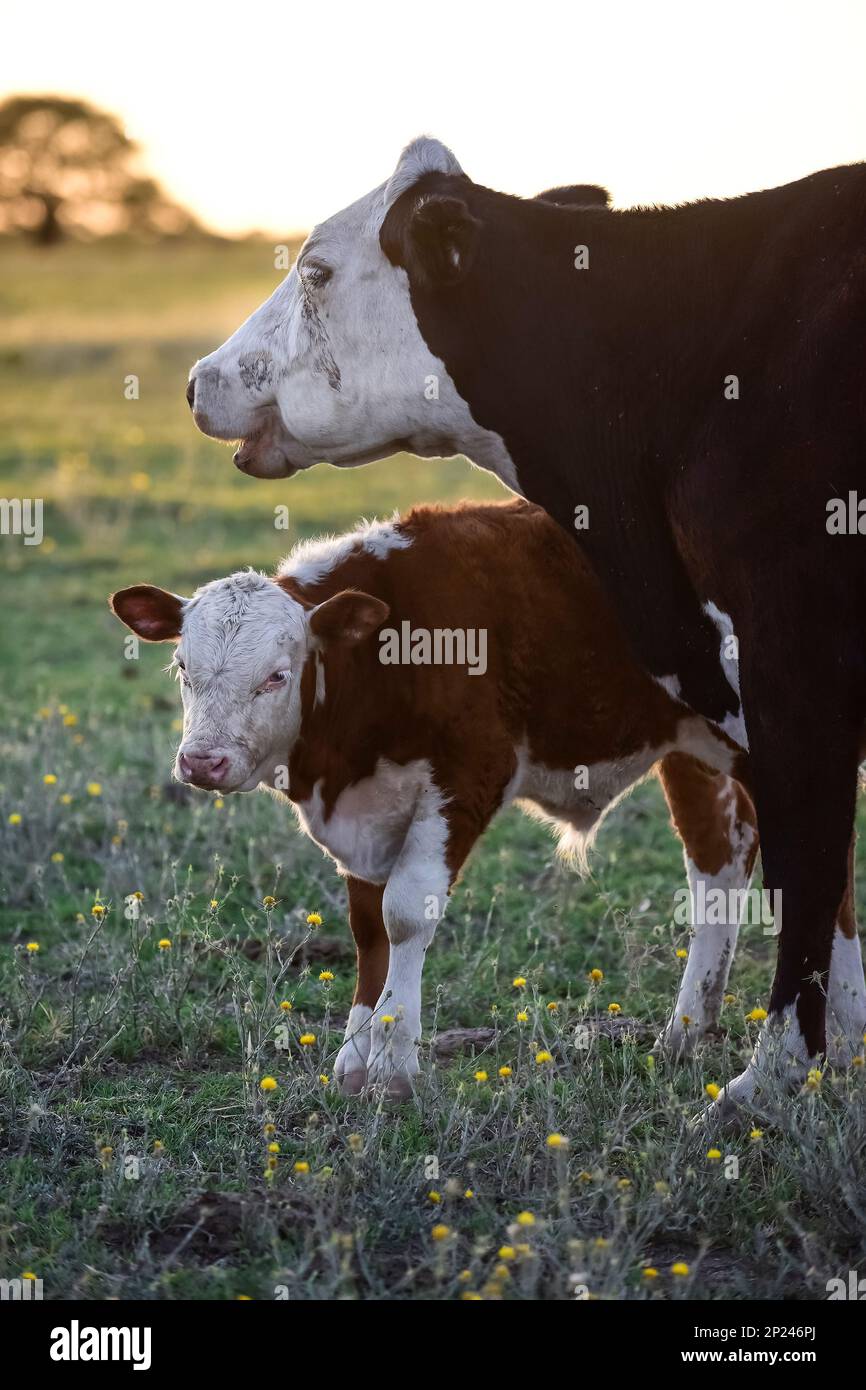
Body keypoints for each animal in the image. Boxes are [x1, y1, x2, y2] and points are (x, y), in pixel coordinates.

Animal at [110, 500, 865, 1100]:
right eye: (183, 667)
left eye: (276, 675)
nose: (202, 762)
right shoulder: (362, 815)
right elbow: (367, 928)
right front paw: (353, 1056)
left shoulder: (468, 776)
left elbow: (405, 915)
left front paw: (392, 1064)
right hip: (698, 750)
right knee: (721, 859)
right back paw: (694, 1032)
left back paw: (843, 1029)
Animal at [186, 139, 866, 1112]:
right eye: (184, 672)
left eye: (315, 271)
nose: (196, 380)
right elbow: (367, 920)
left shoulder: (789, 663)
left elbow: (807, 862)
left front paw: (769, 1077)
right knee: (724, 864)